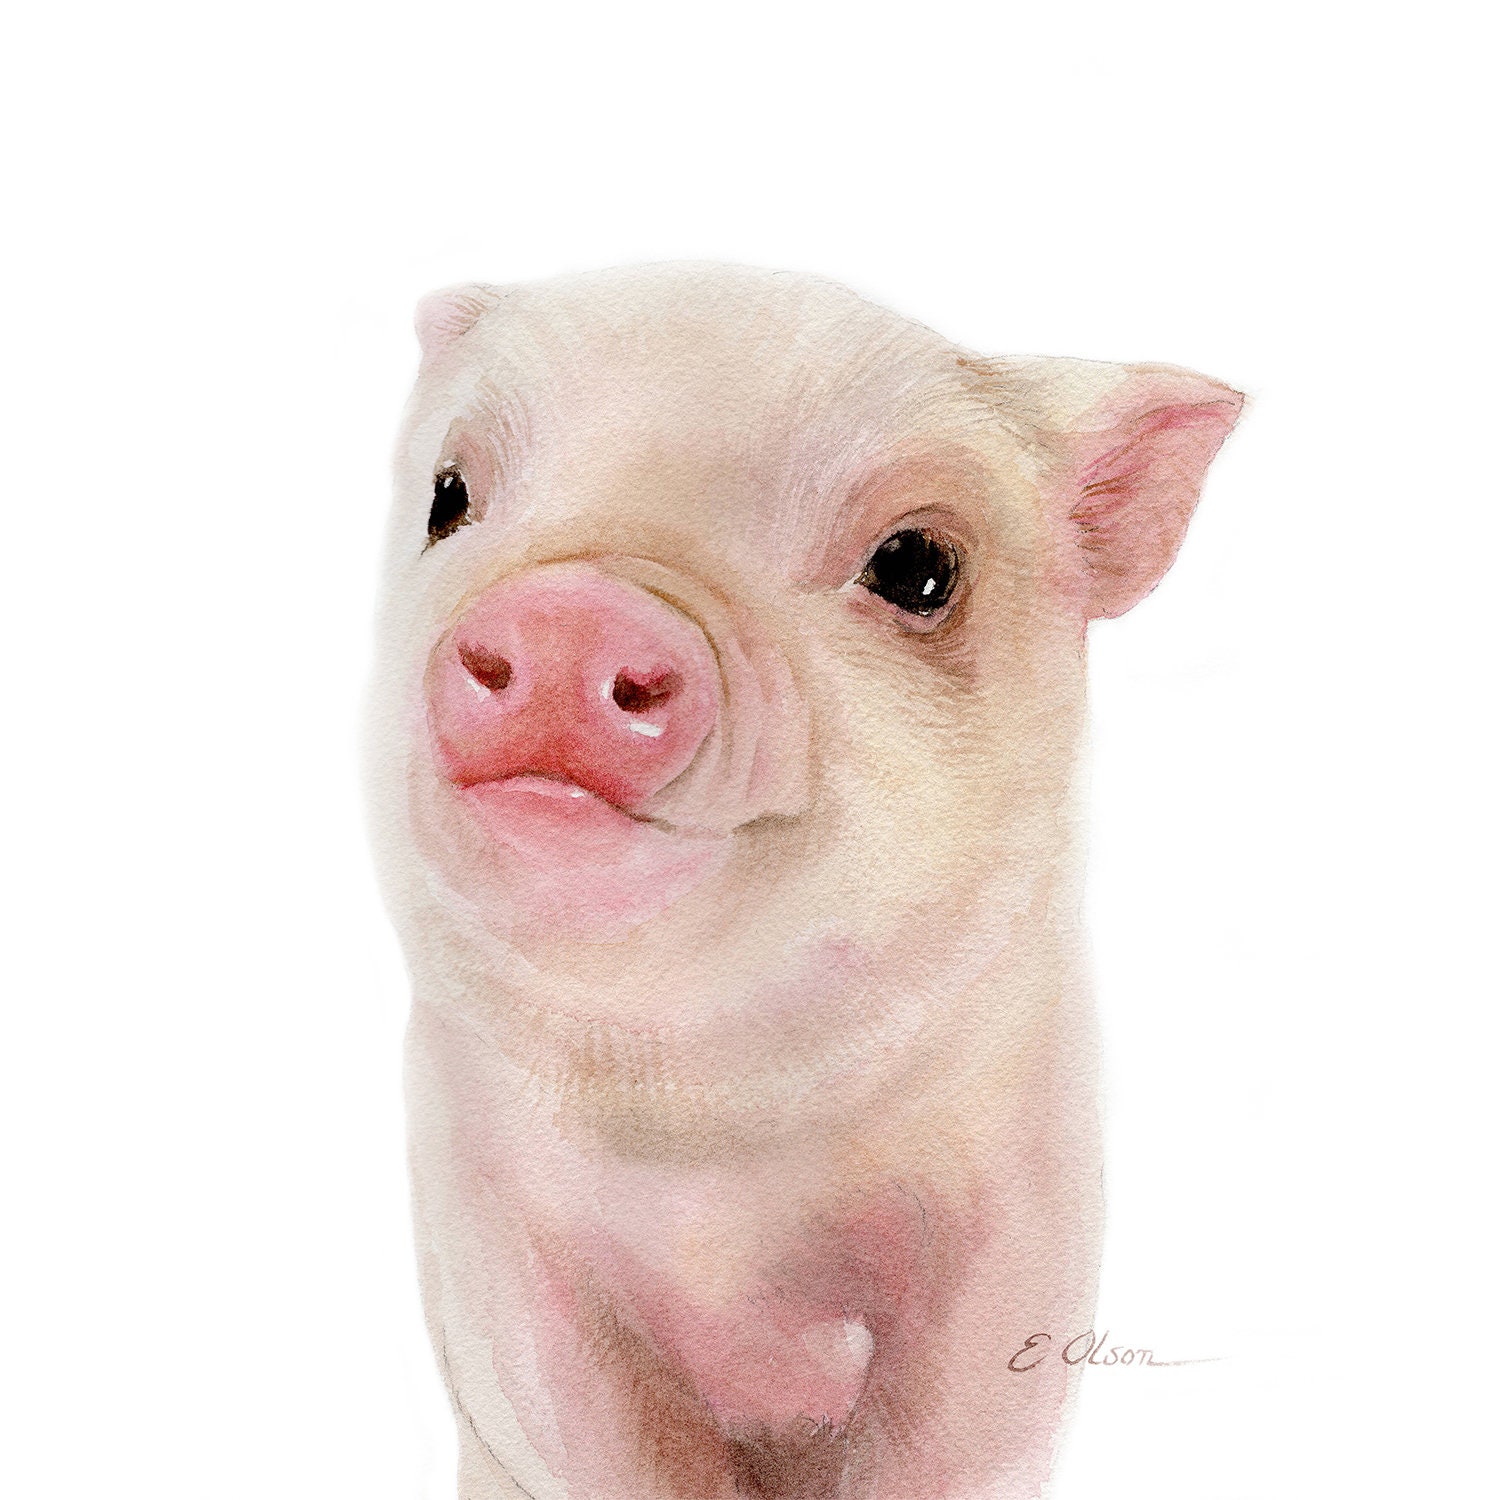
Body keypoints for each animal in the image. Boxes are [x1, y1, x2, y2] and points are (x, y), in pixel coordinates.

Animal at [366, 264, 1241, 1500]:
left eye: (918, 567)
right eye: (448, 497)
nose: (568, 612)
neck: (712, 1142)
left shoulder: (1024, 1216)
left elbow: (959, 1431)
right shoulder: (487, 1233)